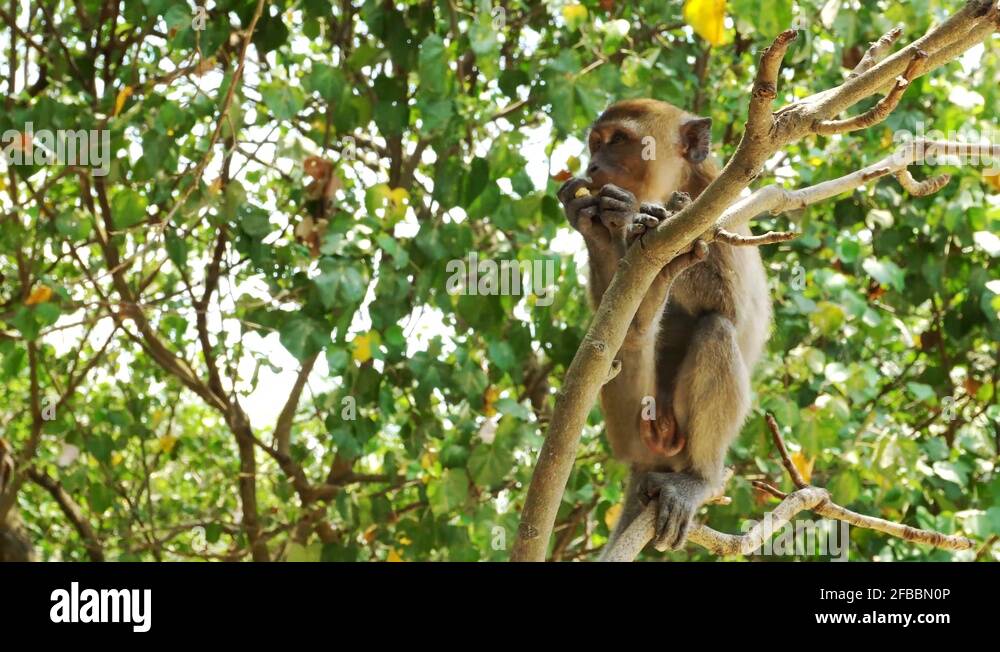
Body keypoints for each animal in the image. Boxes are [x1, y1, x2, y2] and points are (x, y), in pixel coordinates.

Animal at [557, 99, 771, 554]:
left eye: (619, 141)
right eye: (596, 143)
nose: (593, 165)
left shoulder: (718, 203)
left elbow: (733, 306)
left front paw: (635, 219)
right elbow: (610, 320)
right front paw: (593, 225)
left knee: (716, 329)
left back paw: (698, 479)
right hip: (632, 430)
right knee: (616, 346)